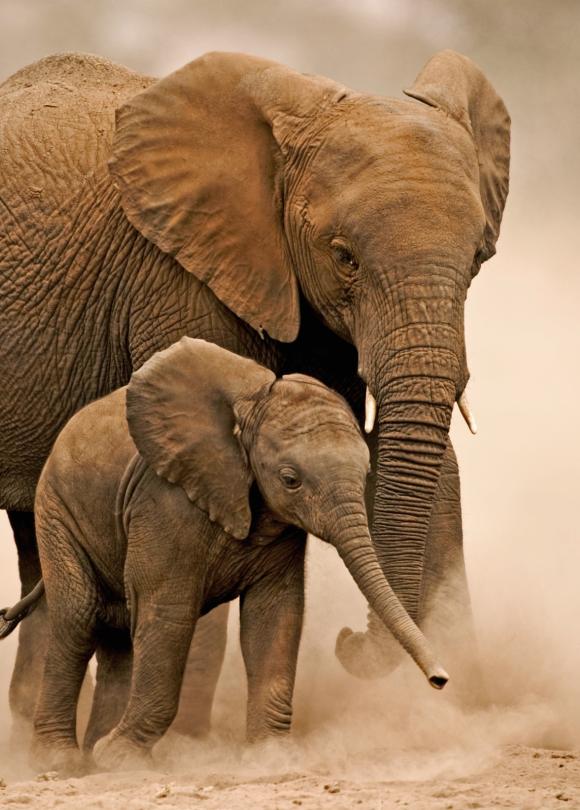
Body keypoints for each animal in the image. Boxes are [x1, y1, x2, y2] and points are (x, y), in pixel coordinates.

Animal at [27, 338, 448, 771]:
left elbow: (274, 614)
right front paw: (121, 759)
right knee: (79, 618)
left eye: (366, 473)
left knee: (118, 631)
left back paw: (91, 755)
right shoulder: (165, 502)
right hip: (56, 510)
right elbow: (168, 614)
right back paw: (60, 761)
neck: (249, 412)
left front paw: (273, 757)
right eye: (290, 480)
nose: (440, 680)